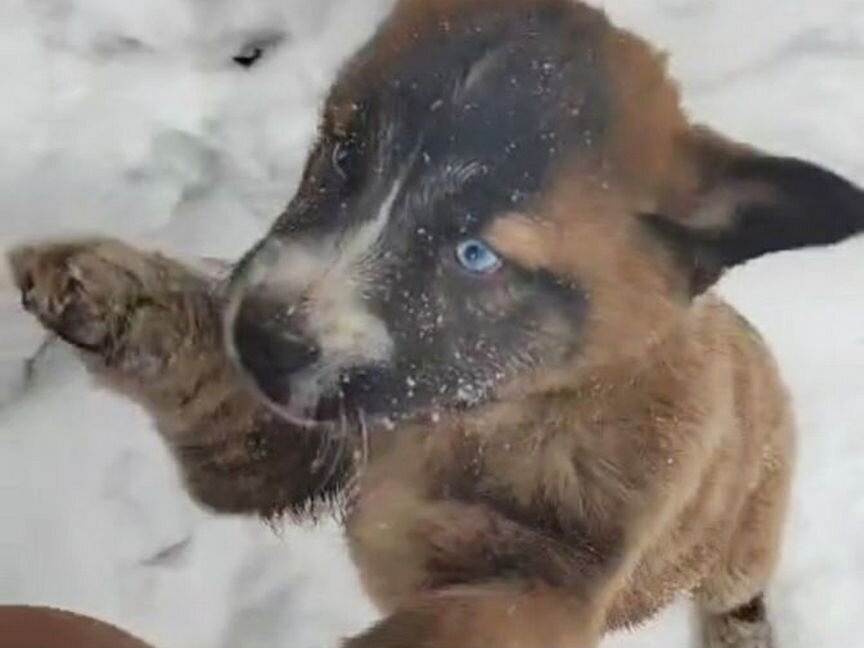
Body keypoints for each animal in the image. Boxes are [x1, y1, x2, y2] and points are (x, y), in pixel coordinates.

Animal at [8, 1, 864, 648]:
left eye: (475, 253)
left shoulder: (548, 592)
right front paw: (101, 289)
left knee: (736, 584)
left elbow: (457, 625)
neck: (468, 421)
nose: (255, 338)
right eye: (344, 156)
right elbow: (208, 383)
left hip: (744, 528)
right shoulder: (296, 444)